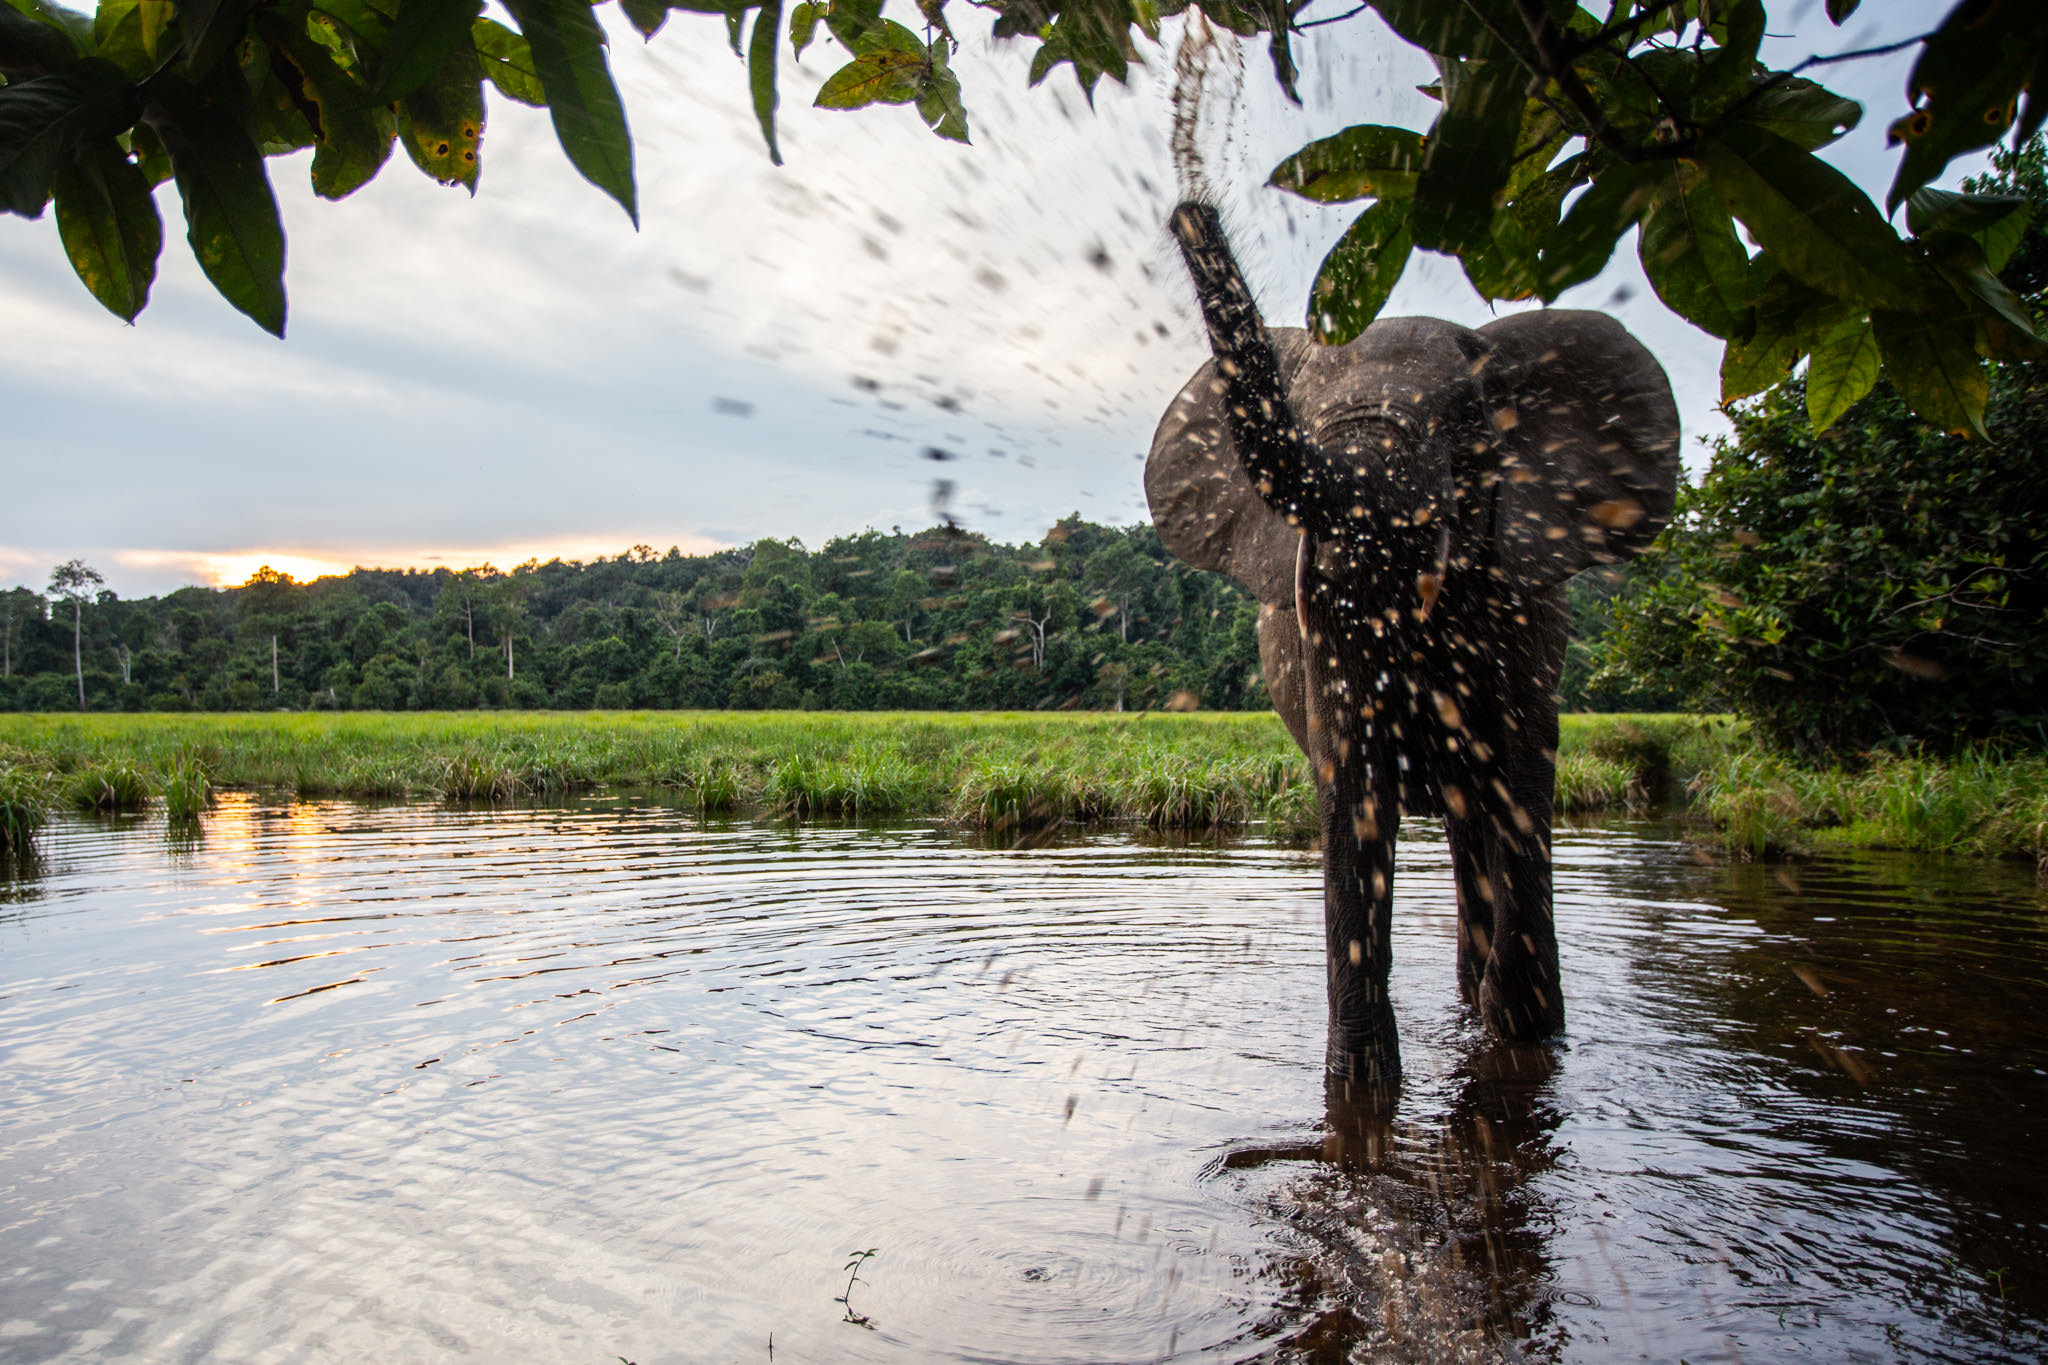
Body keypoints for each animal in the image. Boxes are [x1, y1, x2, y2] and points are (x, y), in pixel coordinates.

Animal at [1148, 202, 1680, 1086]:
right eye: (1300, 411)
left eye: (1466, 425)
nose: (1193, 213)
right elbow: (1353, 775)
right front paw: (1360, 1079)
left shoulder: (1520, 600)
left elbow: (1524, 767)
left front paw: (1529, 1037)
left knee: (1483, 821)